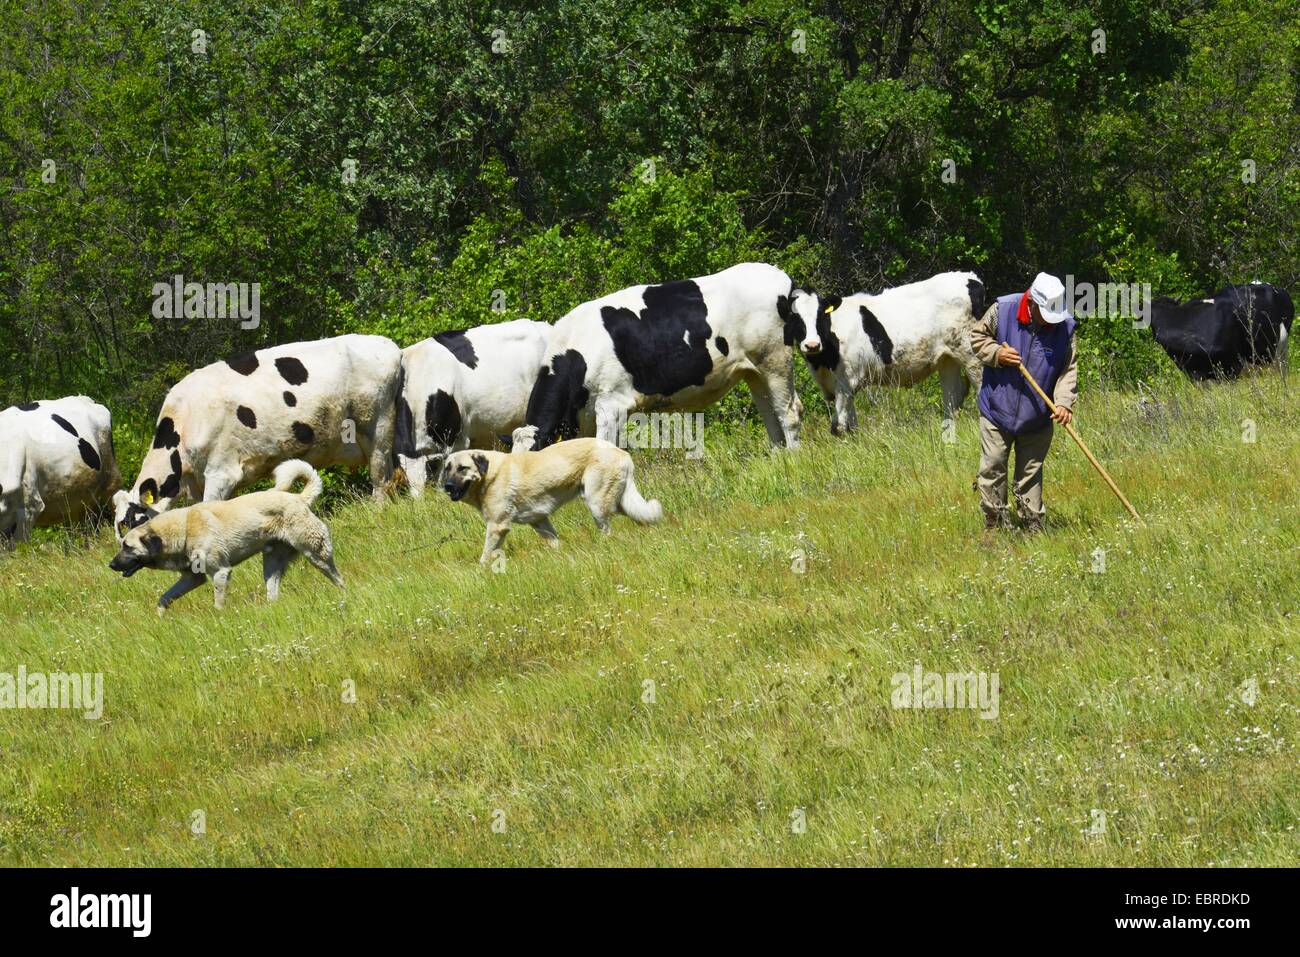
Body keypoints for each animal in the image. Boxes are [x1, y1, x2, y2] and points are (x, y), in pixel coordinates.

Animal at [113, 334, 402, 540]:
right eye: (118, 527)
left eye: (133, 522)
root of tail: (388, 345)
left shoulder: (221, 473)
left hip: (377, 426)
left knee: (380, 476)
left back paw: (377, 511)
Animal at [513, 262, 826, 451]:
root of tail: (779, 275)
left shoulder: (611, 405)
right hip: (754, 370)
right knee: (770, 414)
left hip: (775, 360)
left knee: (789, 412)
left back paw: (793, 460)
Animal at [797, 272, 986, 434]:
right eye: (794, 318)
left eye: (820, 316)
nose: (812, 345)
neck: (821, 363)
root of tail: (971, 277)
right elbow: (852, 425)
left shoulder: (846, 381)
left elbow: (838, 427)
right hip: (948, 358)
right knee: (953, 396)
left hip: (971, 355)